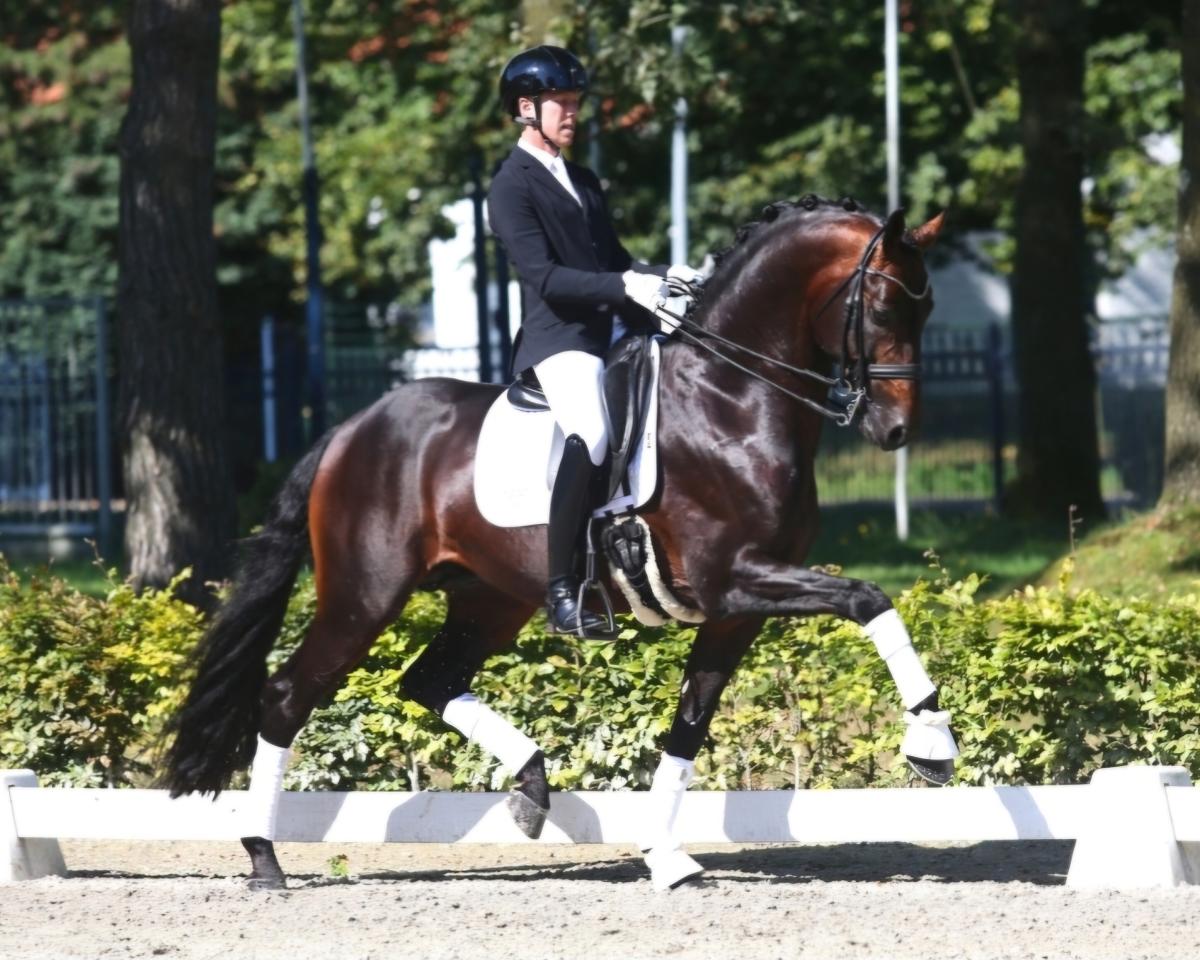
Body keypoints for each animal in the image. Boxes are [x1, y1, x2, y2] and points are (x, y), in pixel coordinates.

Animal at [164, 194, 955, 892]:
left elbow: (689, 726)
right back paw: (264, 858)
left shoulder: (737, 609)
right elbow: (868, 598)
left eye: (928, 309)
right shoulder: (735, 577)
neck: (731, 400)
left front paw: (663, 857)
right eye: (884, 308)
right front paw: (932, 743)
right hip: (365, 597)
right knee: (286, 697)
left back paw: (531, 784)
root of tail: (351, 428)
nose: (895, 431)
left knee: (428, 681)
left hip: (488, 599)